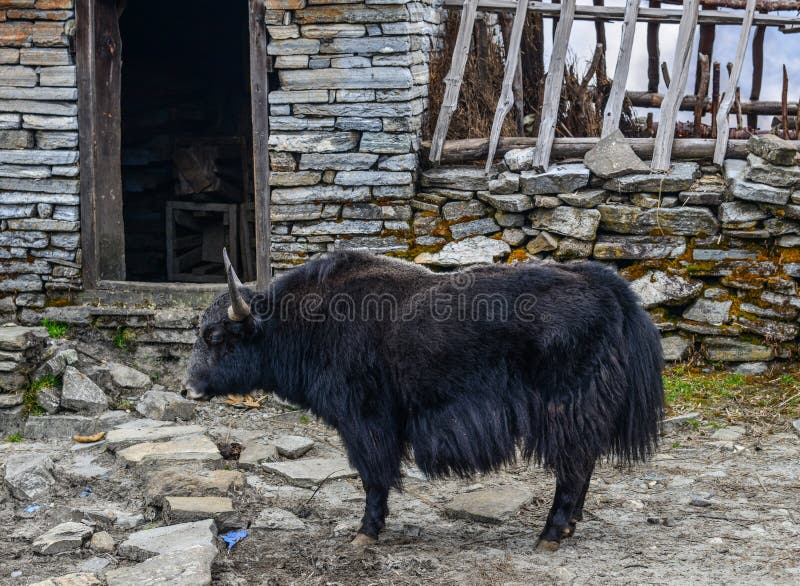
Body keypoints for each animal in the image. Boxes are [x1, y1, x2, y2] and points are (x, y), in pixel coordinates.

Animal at [185, 249, 664, 551]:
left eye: (215, 337)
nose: (188, 388)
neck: (302, 324)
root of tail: (603, 284)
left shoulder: (365, 420)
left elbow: (373, 476)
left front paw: (366, 532)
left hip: (565, 407)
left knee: (573, 466)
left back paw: (550, 534)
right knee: (582, 465)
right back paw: (567, 529)